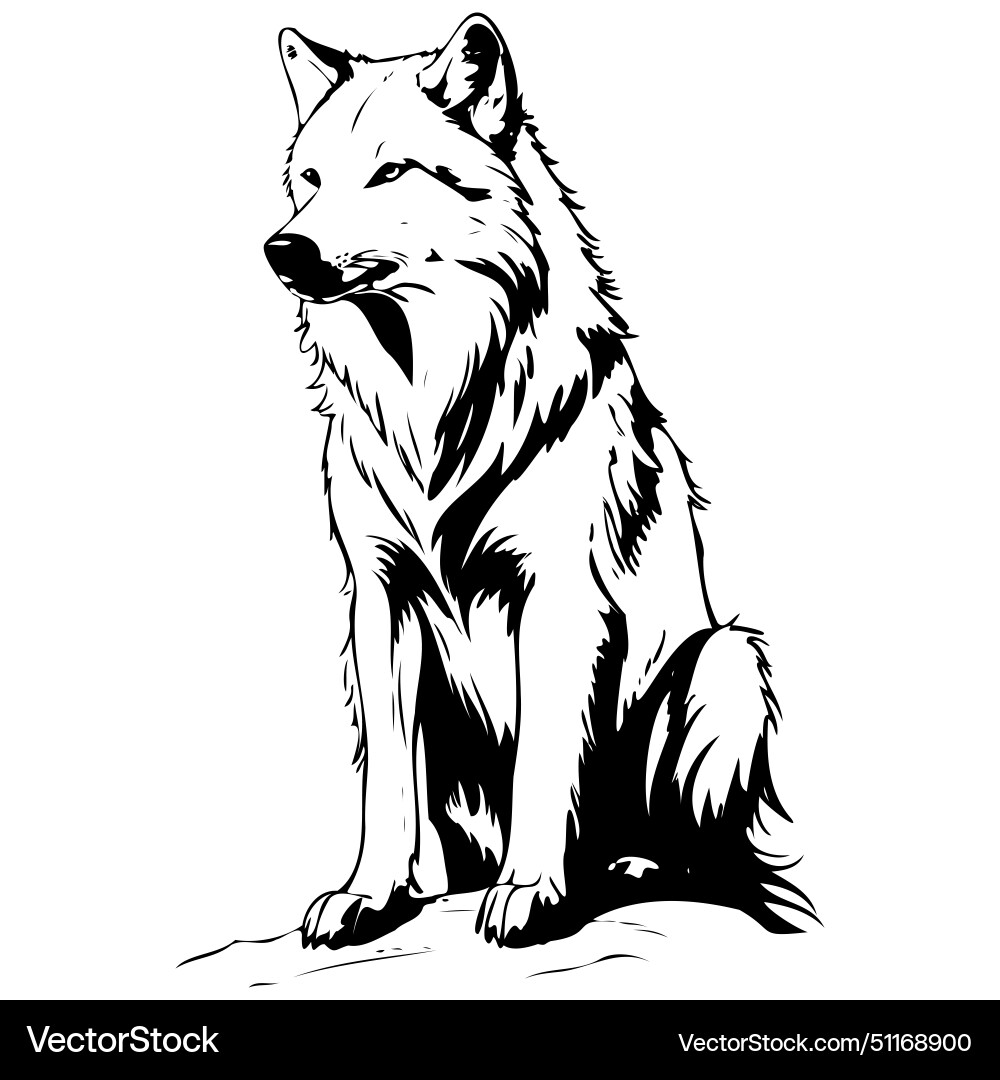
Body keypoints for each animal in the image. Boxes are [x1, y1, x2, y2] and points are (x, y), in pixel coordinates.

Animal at [263, 13, 815, 948]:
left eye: (389, 171)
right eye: (309, 180)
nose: (282, 250)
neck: (436, 399)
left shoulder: (556, 598)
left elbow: (546, 762)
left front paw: (529, 891)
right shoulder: (379, 598)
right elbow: (386, 779)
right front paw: (371, 894)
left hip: (726, 662)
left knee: (696, 846)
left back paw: (628, 866)